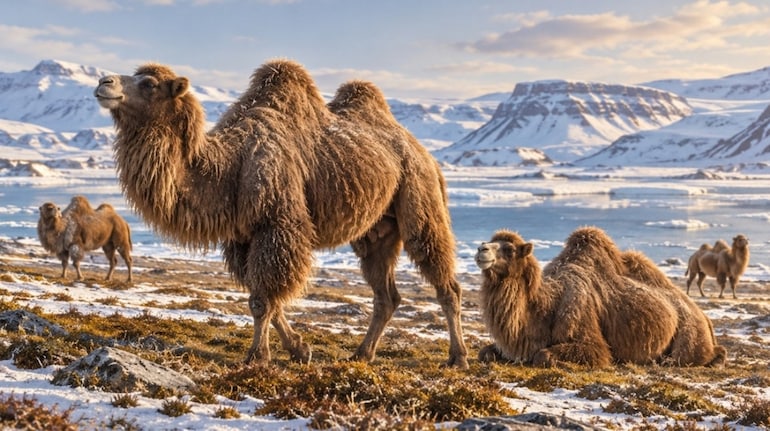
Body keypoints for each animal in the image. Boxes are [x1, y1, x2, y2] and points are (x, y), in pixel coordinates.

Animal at [93, 60, 468, 367]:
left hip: (418, 194)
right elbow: (263, 296)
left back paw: (458, 357)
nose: (103, 82)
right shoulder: (242, 236)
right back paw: (362, 354)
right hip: (377, 229)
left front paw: (257, 356)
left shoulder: (277, 223)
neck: (228, 165)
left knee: (440, 271)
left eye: (149, 83)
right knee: (386, 294)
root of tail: (428, 156)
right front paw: (300, 349)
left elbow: (262, 299)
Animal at [474, 226, 726, 367]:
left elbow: (544, 355)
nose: (481, 250)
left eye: (509, 249)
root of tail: (706, 318)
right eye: (490, 242)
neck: (547, 305)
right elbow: (484, 352)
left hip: (689, 332)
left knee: (693, 355)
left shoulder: (584, 326)